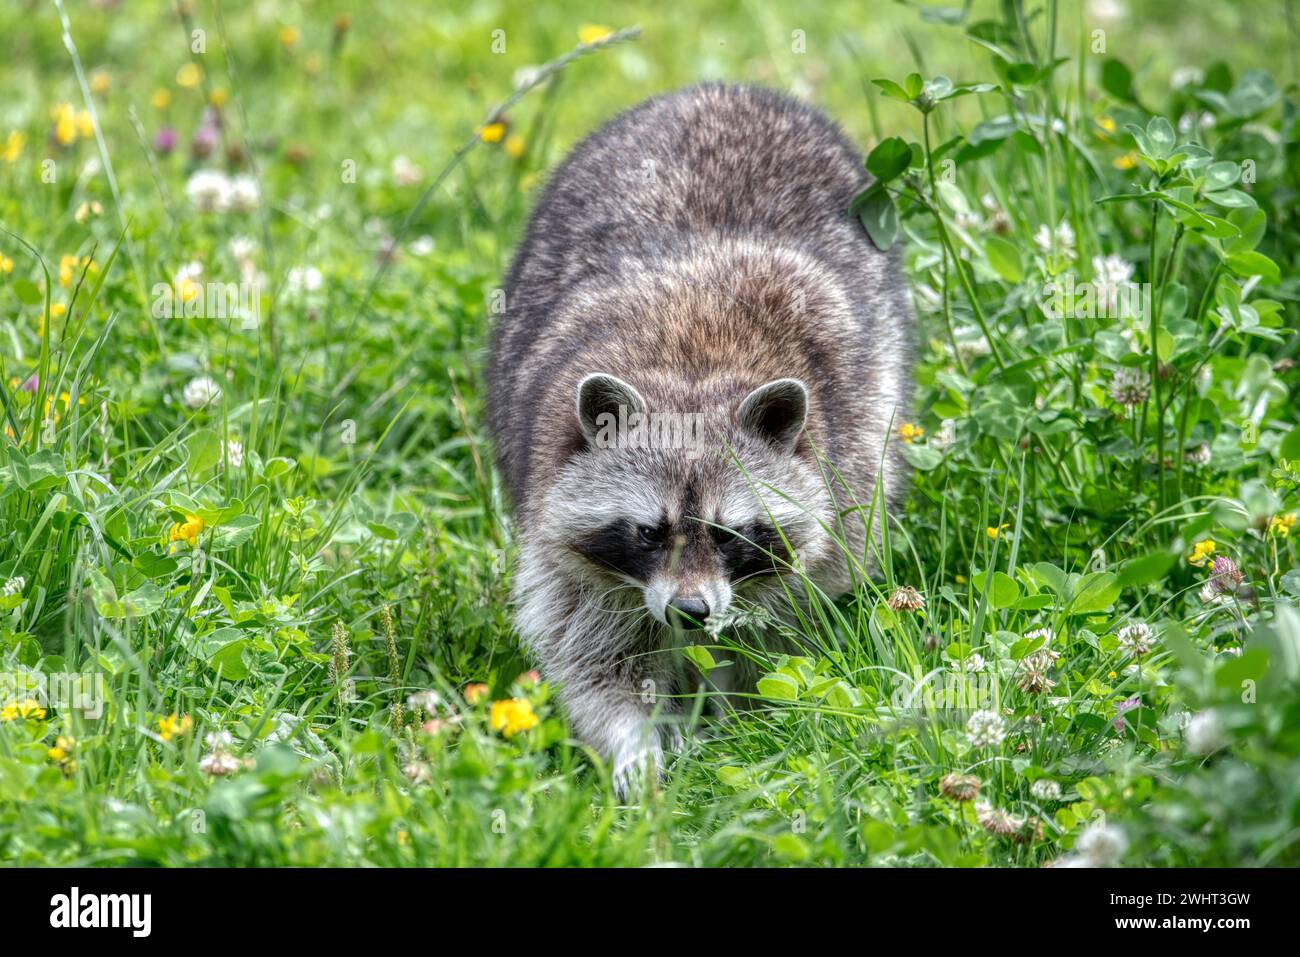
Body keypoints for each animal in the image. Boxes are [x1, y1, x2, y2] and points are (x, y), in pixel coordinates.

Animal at [487, 83, 913, 794]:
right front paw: (636, 753)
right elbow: (598, 656)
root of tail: (721, 88)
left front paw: (745, 727)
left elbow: (782, 640)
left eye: (729, 532)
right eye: (649, 531)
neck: (692, 375)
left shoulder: (837, 485)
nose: (691, 612)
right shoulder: (568, 543)